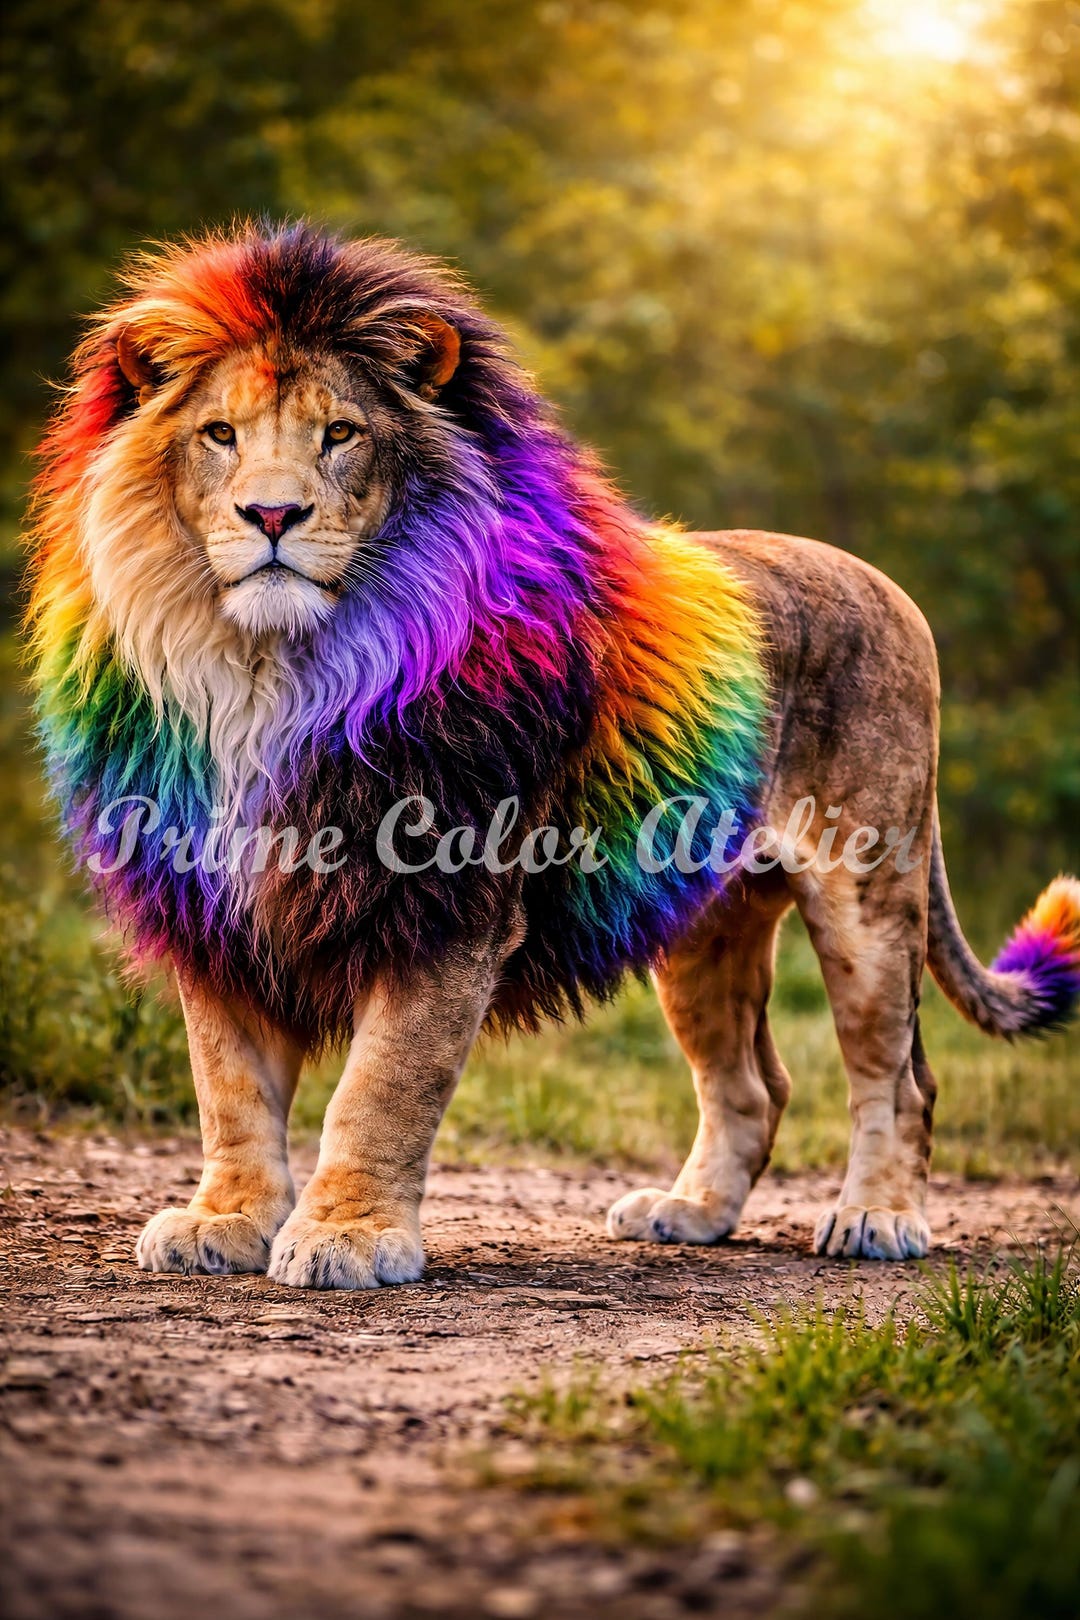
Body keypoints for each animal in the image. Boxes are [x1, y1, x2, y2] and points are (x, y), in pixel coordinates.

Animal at [26, 223, 1079, 1288]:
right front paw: (226, 1221)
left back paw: (877, 1220)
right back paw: (689, 1212)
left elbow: (380, 1087)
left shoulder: (448, 906)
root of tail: (889, 587)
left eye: (340, 435)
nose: (271, 517)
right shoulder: (211, 902)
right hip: (702, 927)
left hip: (868, 898)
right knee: (753, 1083)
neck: (272, 668)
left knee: (897, 1077)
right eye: (220, 435)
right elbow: (230, 1090)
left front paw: (349, 1236)